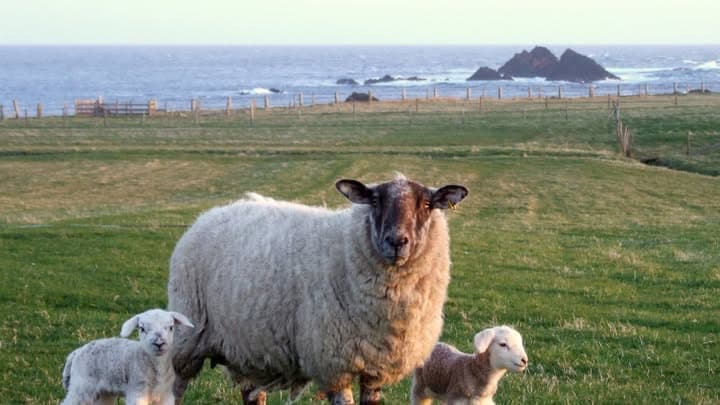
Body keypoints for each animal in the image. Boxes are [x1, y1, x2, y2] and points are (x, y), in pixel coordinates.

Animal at [60, 309, 194, 405]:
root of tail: (76, 352)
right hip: (81, 385)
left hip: (104, 392)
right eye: (142, 329)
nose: (159, 343)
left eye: (171, 327)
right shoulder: (137, 391)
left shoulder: (165, 395)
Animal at [167, 174, 469, 405]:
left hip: (247, 344)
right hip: (186, 341)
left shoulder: (375, 369)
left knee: (252, 393)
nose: (396, 241)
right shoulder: (334, 362)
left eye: (427, 203)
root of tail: (209, 215)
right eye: (374, 201)